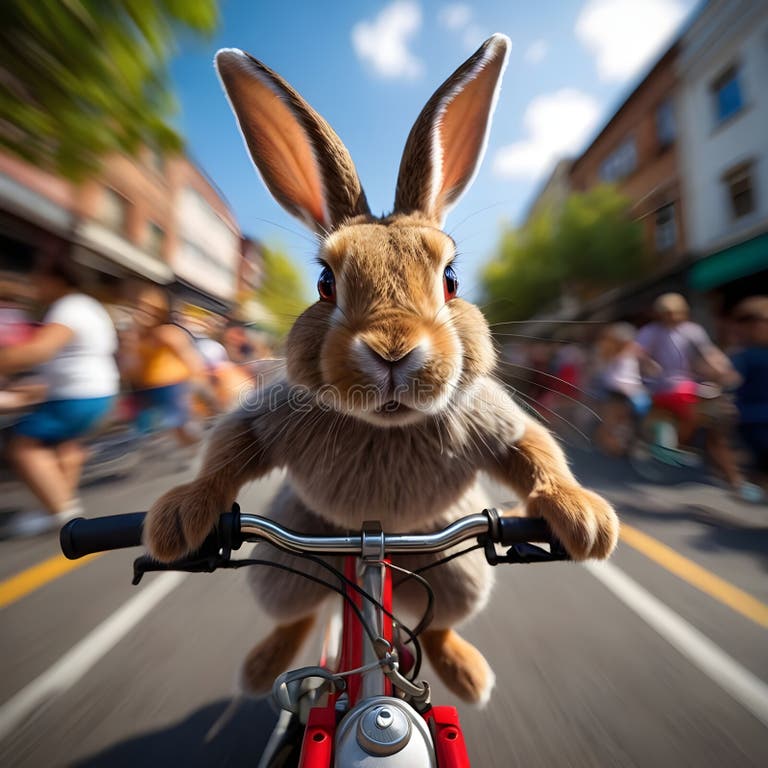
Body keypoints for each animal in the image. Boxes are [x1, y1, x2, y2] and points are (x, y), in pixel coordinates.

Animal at [144, 34, 619, 706]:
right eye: (324, 282)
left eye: (450, 279)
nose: (393, 349)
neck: (388, 425)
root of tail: (375, 543)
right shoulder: (273, 419)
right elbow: (228, 449)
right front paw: (178, 517)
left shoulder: (490, 418)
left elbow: (534, 450)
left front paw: (585, 519)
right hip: (291, 562)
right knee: (295, 614)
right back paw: (263, 668)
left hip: (459, 571)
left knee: (440, 623)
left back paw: (467, 674)